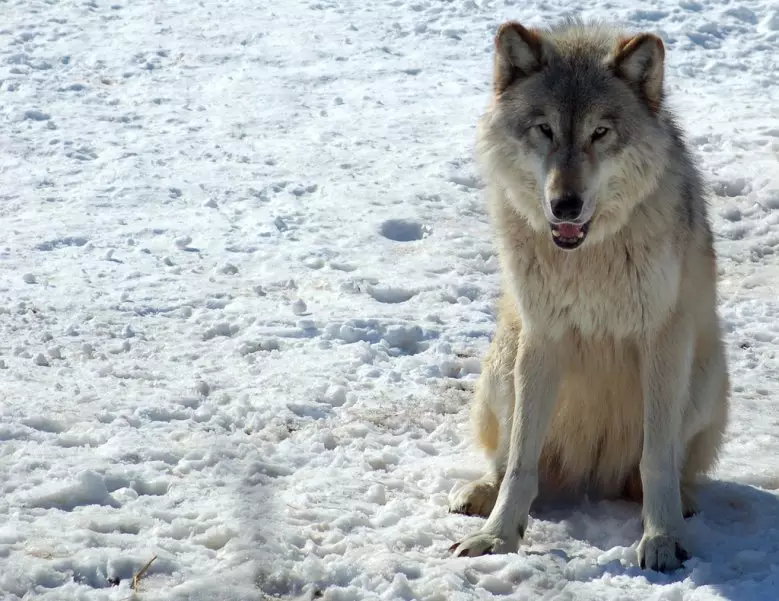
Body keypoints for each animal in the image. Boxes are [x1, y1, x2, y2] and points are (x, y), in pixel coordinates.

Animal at [448, 17, 728, 572]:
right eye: (545, 130)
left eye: (600, 132)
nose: (565, 205)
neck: (587, 258)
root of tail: (590, 471)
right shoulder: (541, 336)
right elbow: (521, 463)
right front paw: (499, 537)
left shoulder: (662, 341)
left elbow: (656, 460)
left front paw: (661, 539)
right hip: (503, 365)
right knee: (507, 457)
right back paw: (480, 493)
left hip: (703, 377)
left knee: (665, 468)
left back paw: (681, 504)